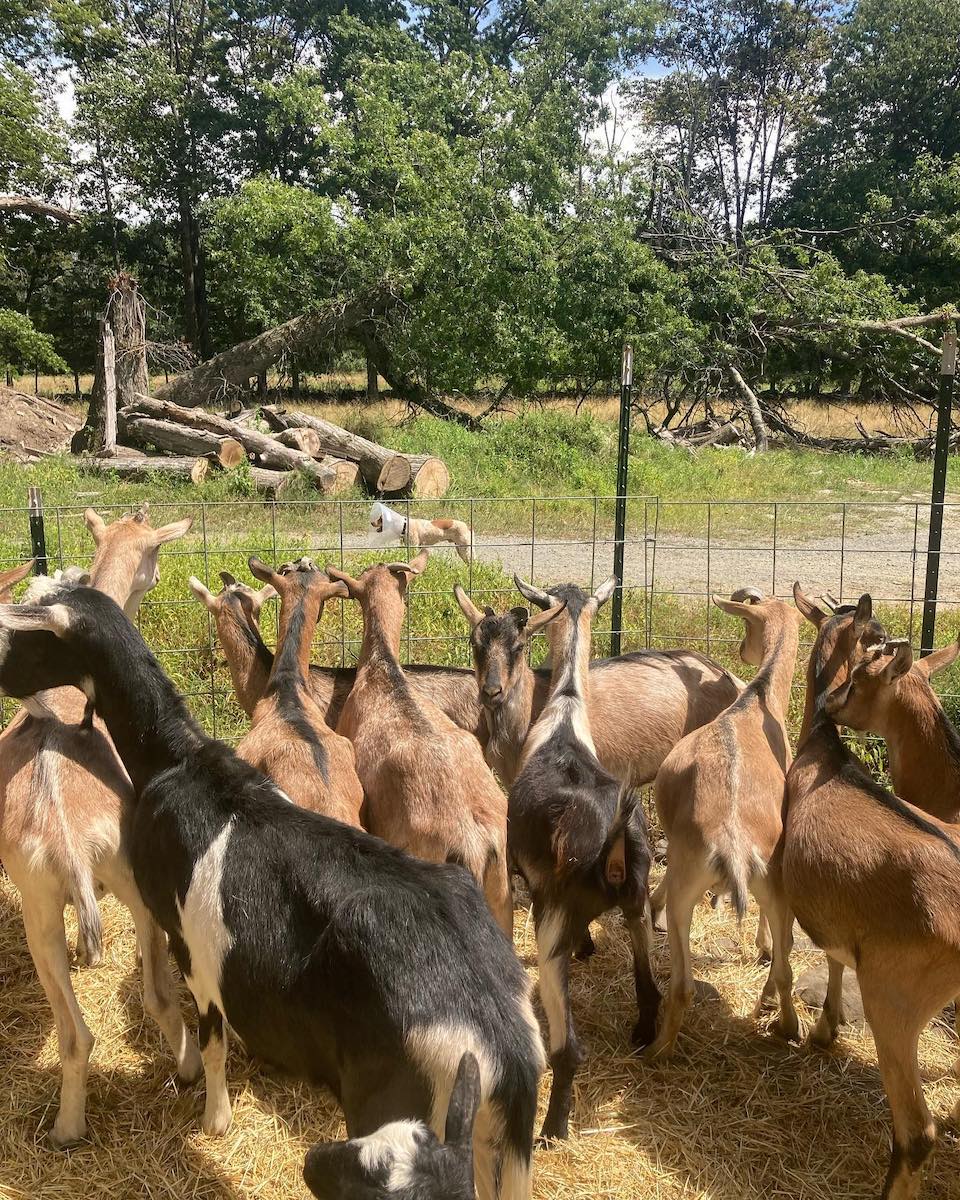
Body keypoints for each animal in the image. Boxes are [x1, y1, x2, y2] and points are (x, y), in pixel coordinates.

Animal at [0, 507, 200, 1148]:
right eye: (154, 562)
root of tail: (67, 837)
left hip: (43, 903)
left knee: (78, 1032)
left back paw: (67, 1127)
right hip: (126, 879)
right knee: (154, 997)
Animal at [506, 576, 659, 1141]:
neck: (565, 714)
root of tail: (612, 843)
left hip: (550, 916)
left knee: (567, 1049)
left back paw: (553, 1127)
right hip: (637, 897)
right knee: (650, 986)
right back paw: (644, 1032)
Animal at [646, 588, 802, 1057]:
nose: (741, 650)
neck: (756, 704)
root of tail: (732, 844)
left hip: (697, 884)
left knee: (683, 985)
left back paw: (656, 1049)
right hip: (772, 881)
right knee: (784, 968)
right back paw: (788, 1028)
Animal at [782, 623, 960, 1199]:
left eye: (860, 679)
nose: (828, 701)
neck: (827, 755)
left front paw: (809, 1030)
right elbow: (835, 956)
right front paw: (826, 1029)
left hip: (894, 1000)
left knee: (917, 1131)